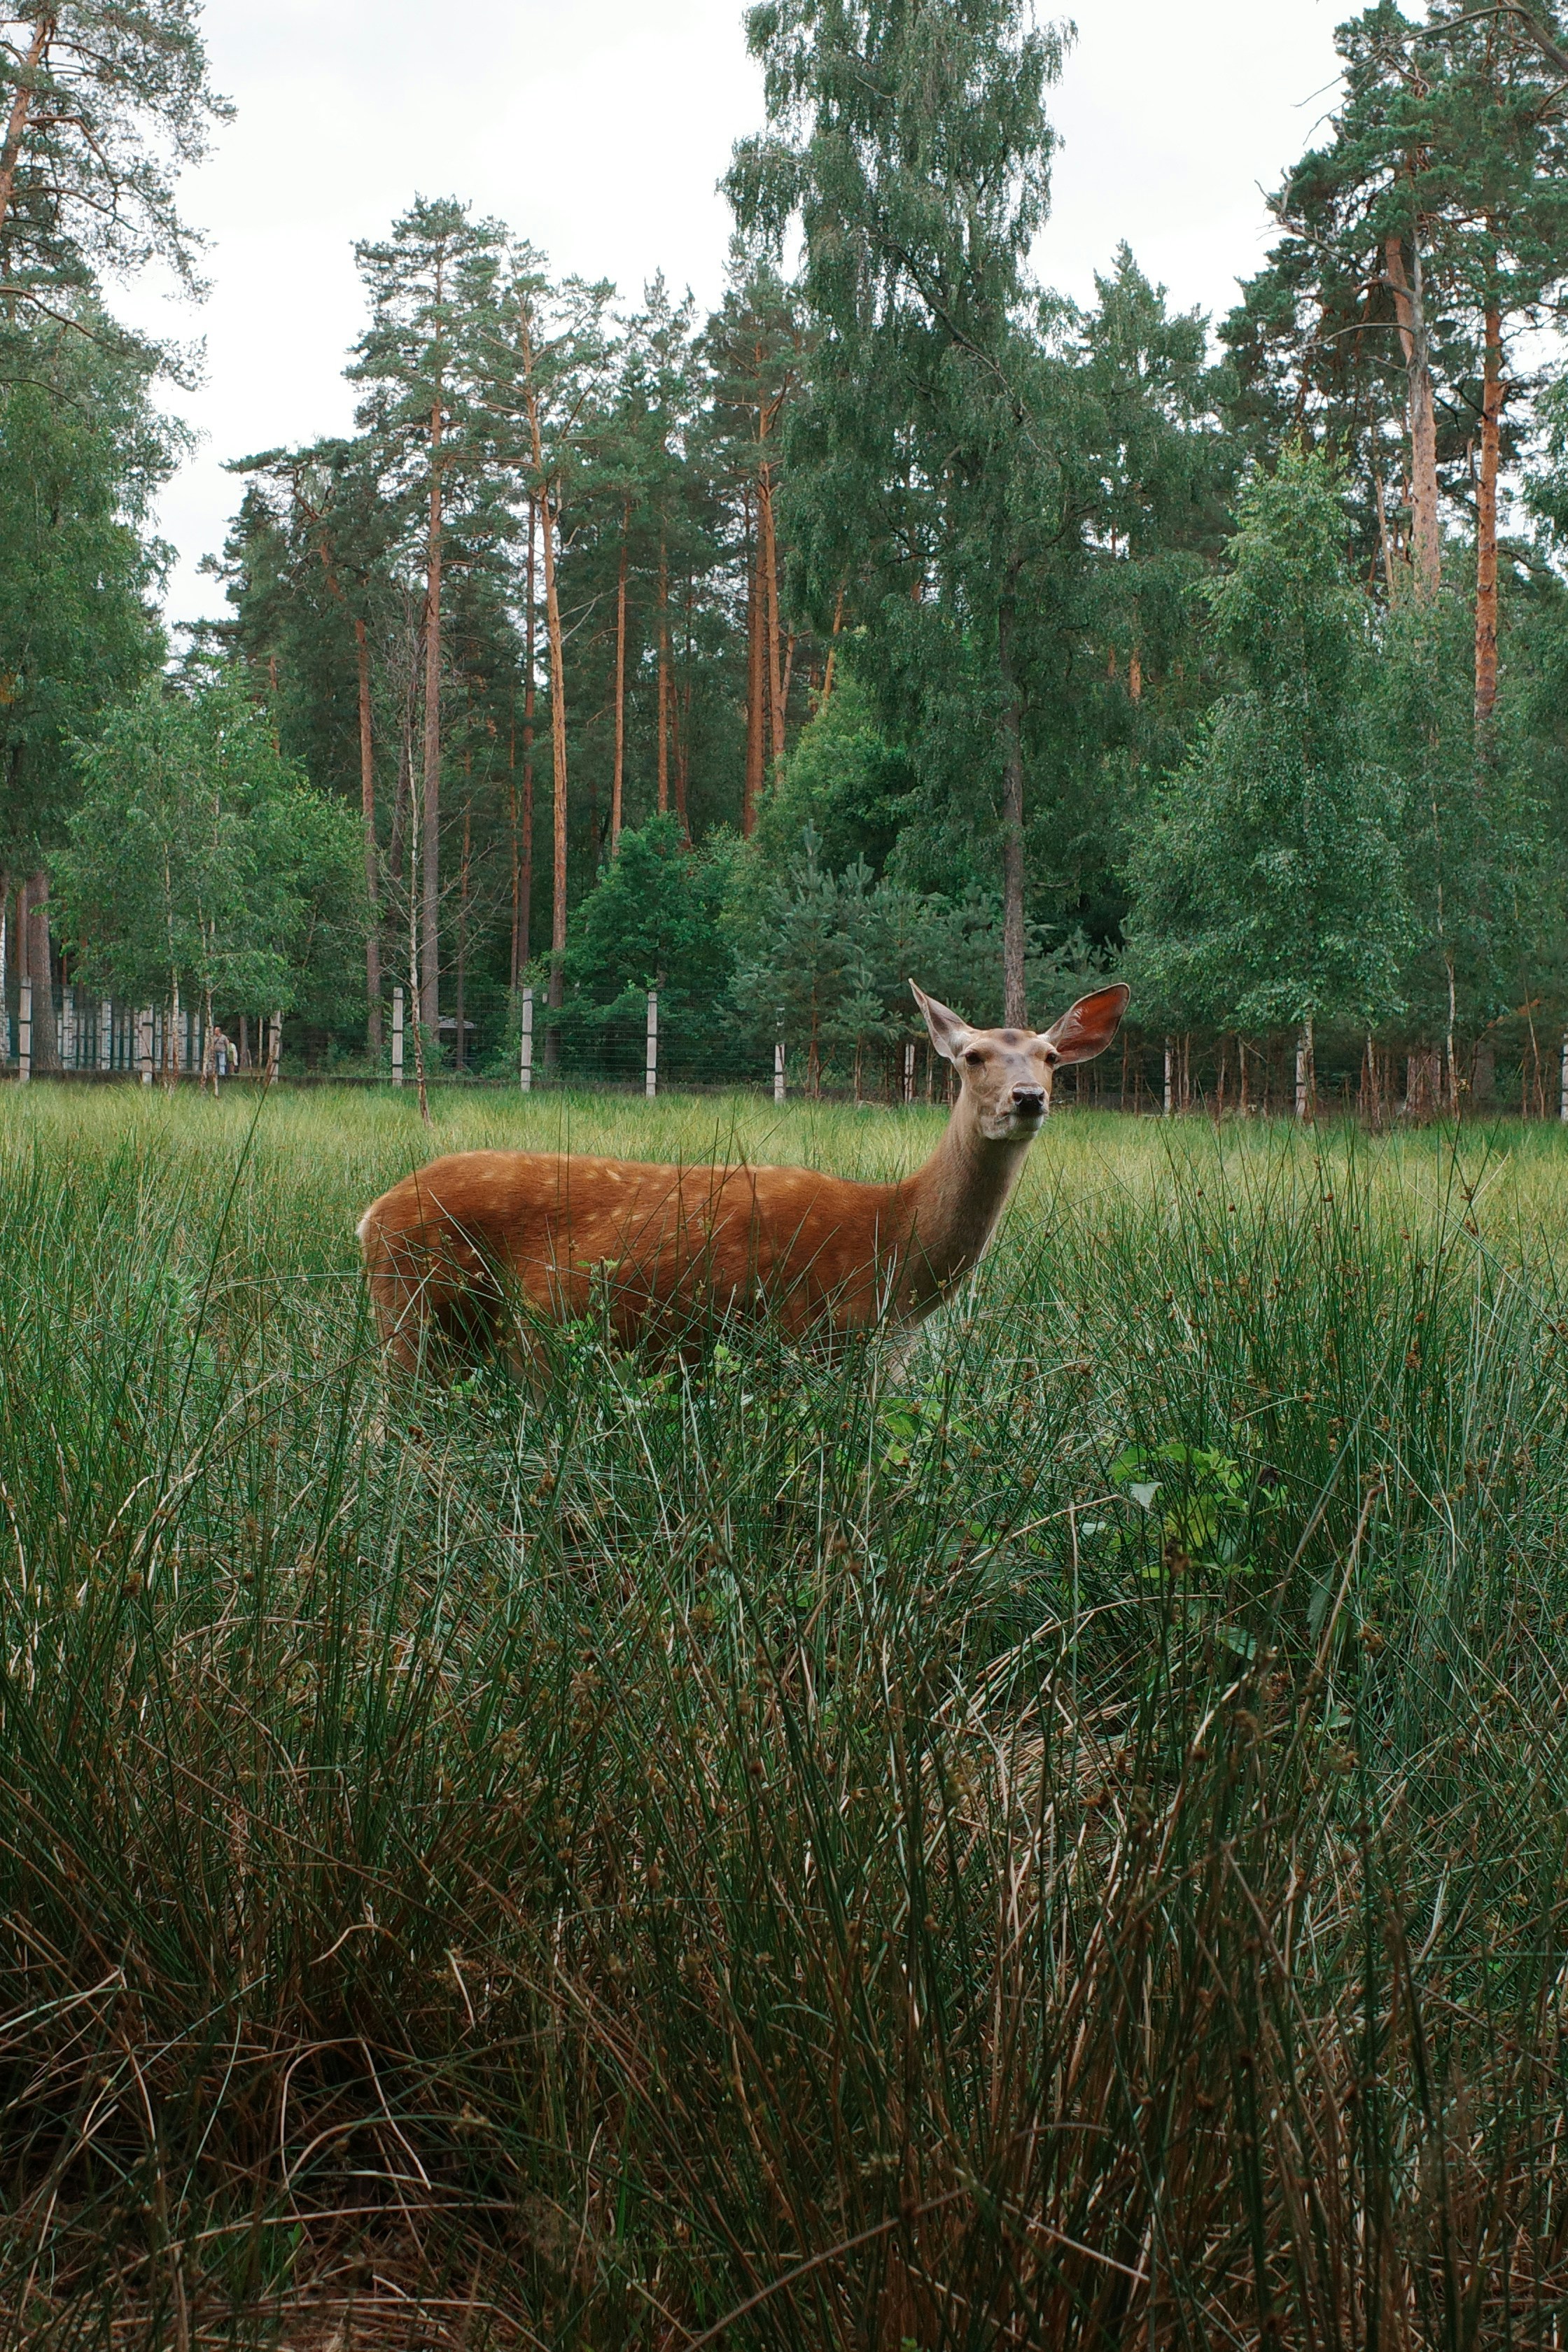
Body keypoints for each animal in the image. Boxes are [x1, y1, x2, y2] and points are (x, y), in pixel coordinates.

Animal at [356, 979, 1129, 1374]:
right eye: (971, 1056)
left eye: (1051, 1058)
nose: (1026, 1098)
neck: (892, 1256)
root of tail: (369, 1216)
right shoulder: (796, 1337)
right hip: (415, 1306)